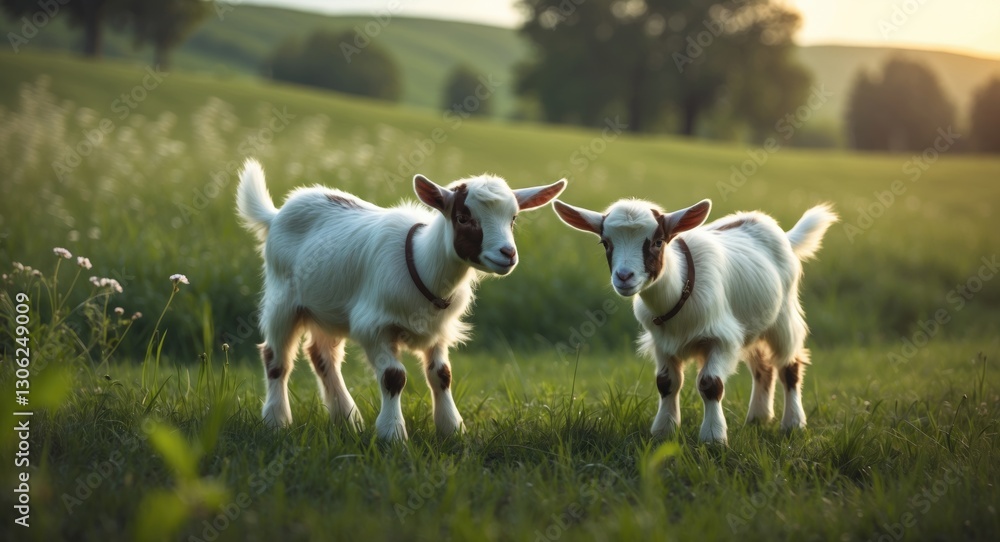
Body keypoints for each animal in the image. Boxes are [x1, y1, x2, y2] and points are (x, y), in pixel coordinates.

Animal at [237, 159, 565, 440]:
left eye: (513, 219)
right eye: (463, 217)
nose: (507, 254)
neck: (423, 262)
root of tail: (276, 215)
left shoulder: (439, 332)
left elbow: (442, 375)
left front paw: (452, 429)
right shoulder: (374, 326)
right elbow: (394, 377)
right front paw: (392, 435)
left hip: (328, 309)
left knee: (322, 355)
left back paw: (348, 419)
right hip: (282, 300)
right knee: (276, 358)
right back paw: (277, 421)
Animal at [553, 197, 837, 443]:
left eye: (658, 241)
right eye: (605, 242)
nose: (624, 277)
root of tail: (781, 233)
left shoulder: (723, 339)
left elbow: (710, 384)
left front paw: (713, 438)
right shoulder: (661, 343)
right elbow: (666, 383)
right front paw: (663, 431)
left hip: (784, 316)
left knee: (790, 365)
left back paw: (793, 424)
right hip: (754, 323)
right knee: (763, 367)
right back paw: (758, 419)